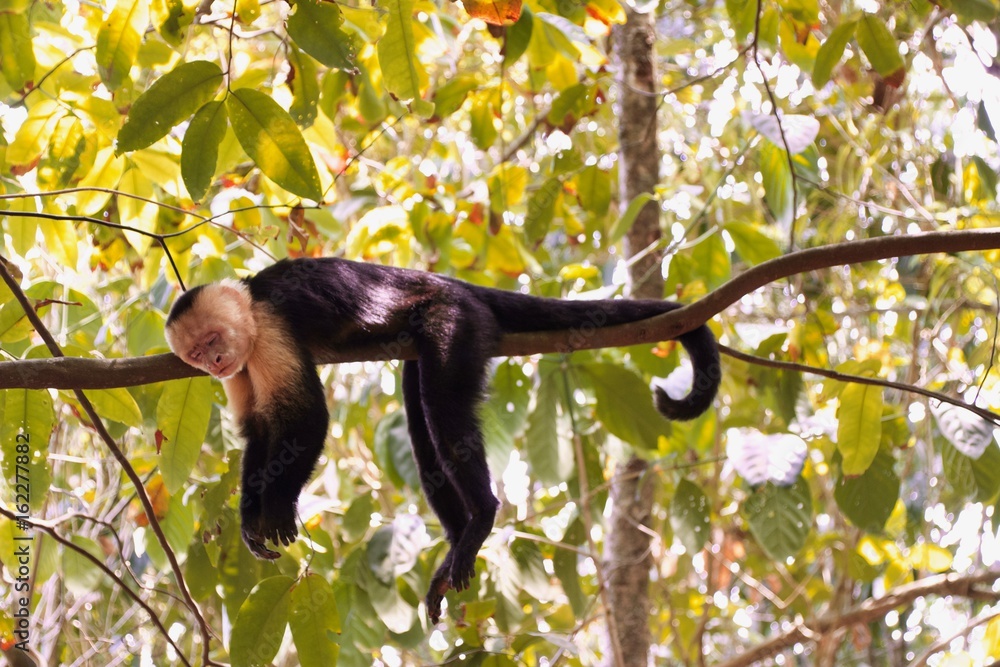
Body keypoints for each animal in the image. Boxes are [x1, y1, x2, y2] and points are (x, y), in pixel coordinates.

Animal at [164, 257, 720, 622]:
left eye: (212, 340)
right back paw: (456, 546)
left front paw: (278, 507)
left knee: (444, 410)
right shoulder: (243, 366)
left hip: (456, 320)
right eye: (196, 354)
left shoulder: (271, 327)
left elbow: (306, 418)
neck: (251, 309)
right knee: (422, 419)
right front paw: (248, 517)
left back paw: (483, 516)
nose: (215, 362)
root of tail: (449, 283)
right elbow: (259, 431)